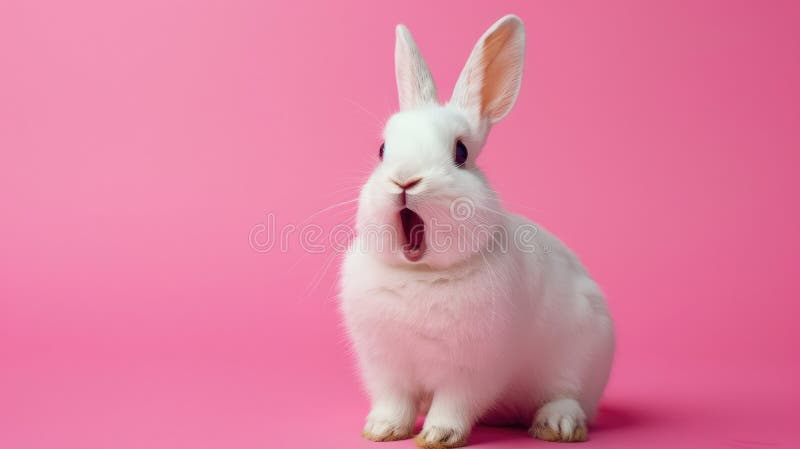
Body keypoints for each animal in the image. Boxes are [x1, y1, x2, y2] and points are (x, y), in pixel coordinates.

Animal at [339, 15, 614, 448]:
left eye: (461, 152)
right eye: (382, 150)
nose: (404, 180)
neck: (421, 274)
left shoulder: (473, 368)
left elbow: (453, 403)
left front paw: (438, 435)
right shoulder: (385, 365)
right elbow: (394, 400)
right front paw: (382, 430)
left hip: (581, 358)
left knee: (567, 396)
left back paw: (557, 425)